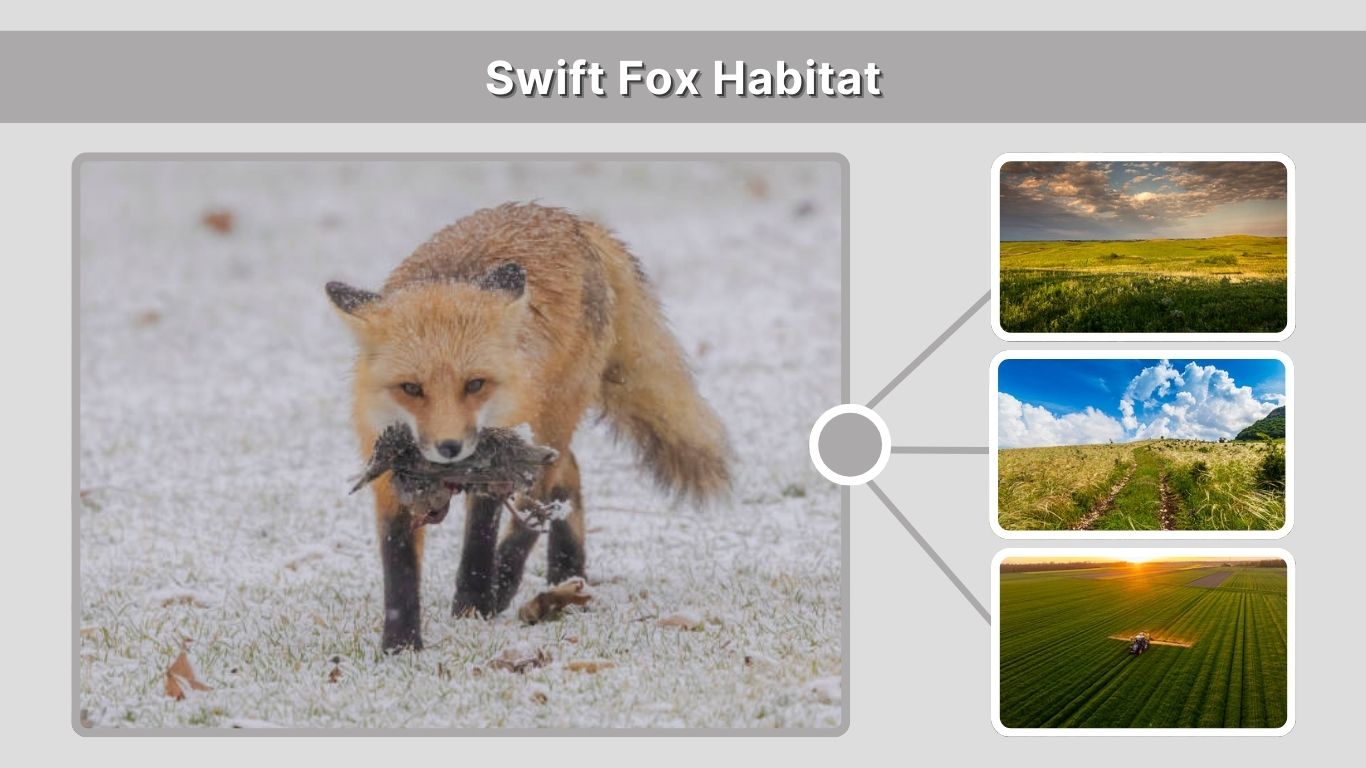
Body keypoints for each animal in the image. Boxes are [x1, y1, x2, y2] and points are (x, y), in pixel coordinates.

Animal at [327, 203, 730, 652]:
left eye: (475, 384)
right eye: (411, 388)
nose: (450, 448)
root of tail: (570, 218)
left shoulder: (494, 456)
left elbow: (480, 533)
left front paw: (473, 602)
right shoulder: (386, 469)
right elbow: (397, 557)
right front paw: (400, 644)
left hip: (551, 415)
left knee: (543, 494)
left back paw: (510, 583)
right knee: (569, 472)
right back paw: (566, 573)